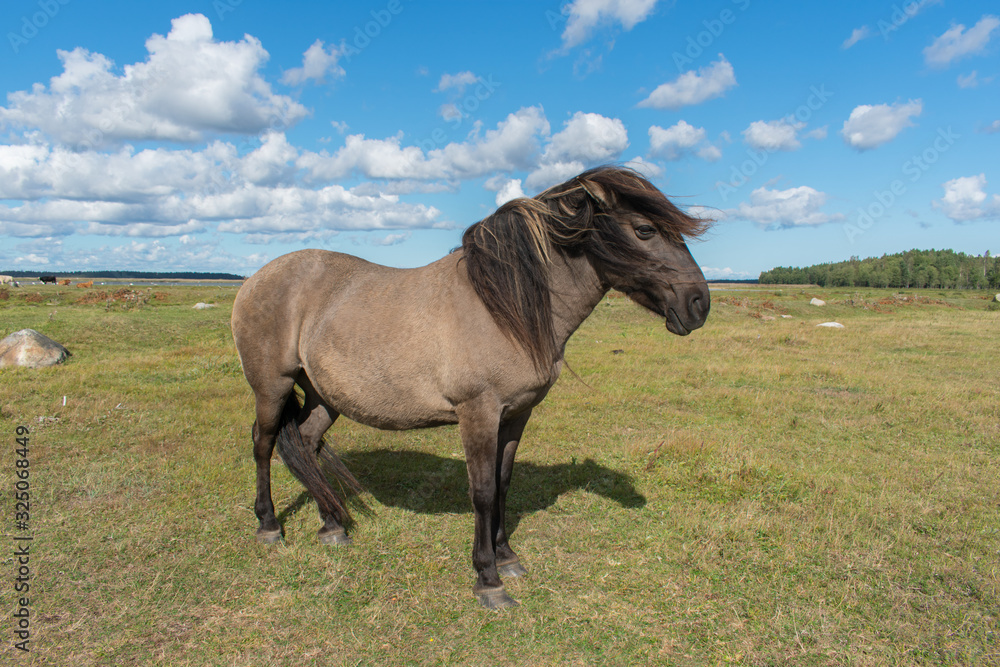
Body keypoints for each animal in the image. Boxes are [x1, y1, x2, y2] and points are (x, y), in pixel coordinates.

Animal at [231, 165, 711, 608]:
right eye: (645, 229)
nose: (699, 304)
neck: (505, 307)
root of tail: (254, 279)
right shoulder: (478, 413)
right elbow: (481, 492)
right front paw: (488, 580)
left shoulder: (516, 415)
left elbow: (503, 482)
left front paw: (508, 557)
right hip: (272, 388)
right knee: (264, 443)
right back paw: (269, 525)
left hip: (324, 396)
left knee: (306, 442)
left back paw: (332, 525)